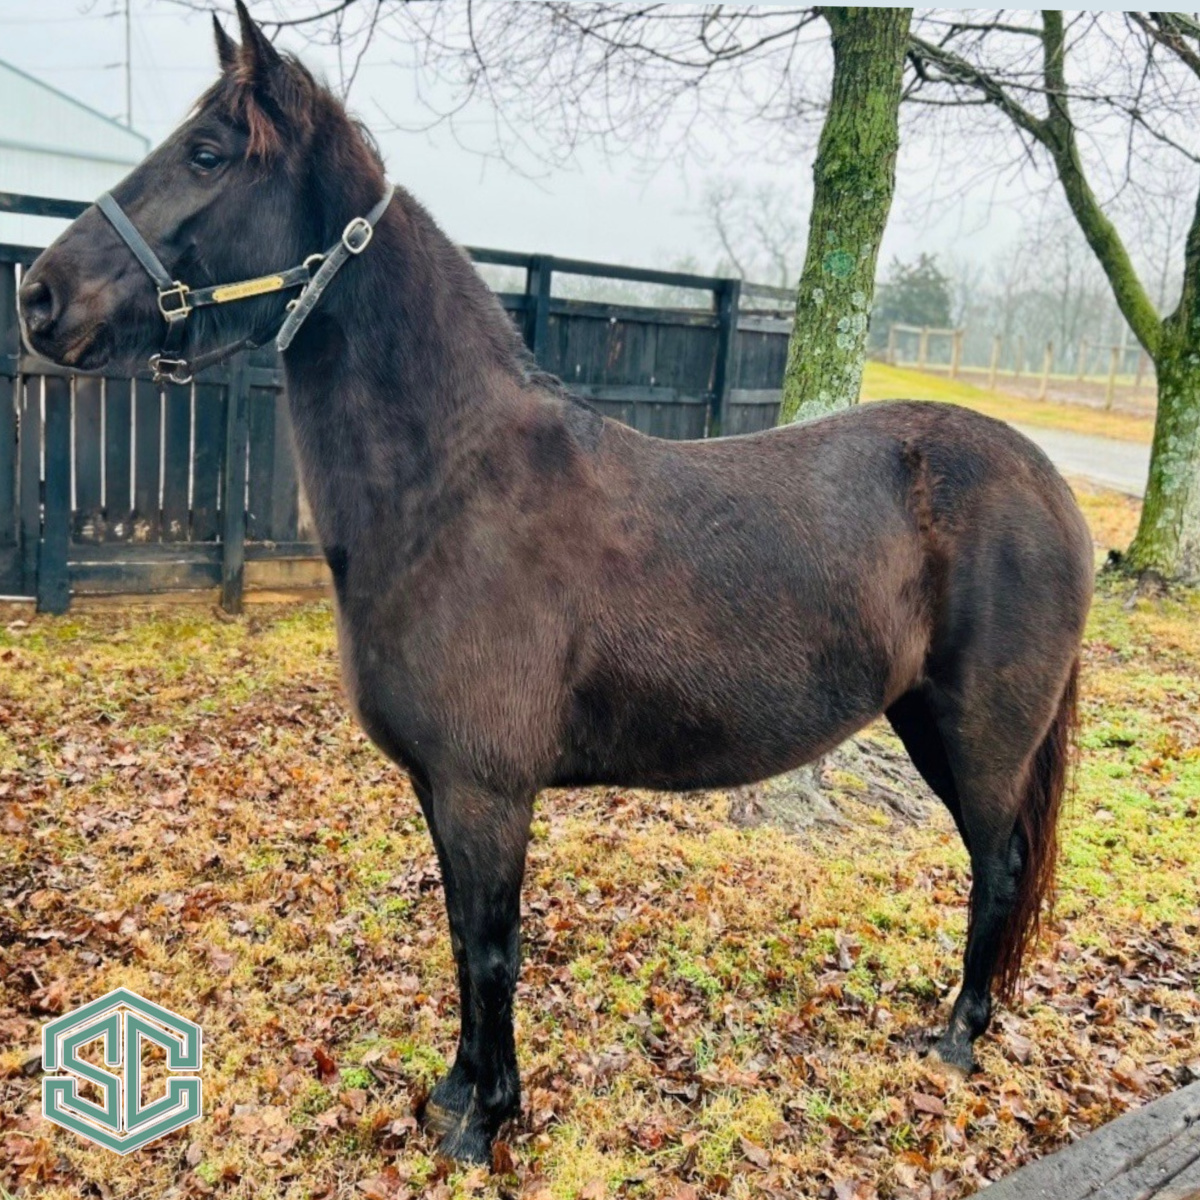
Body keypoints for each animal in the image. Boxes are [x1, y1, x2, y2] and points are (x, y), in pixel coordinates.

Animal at [18, 2, 1093, 1164]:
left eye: (208, 153)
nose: (39, 295)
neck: (454, 486)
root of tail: (1049, 484)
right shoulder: (441, 788)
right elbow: (459, 938)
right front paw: (457, 1094)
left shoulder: (488, 791)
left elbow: (491, 951)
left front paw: (484, 1123)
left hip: (980, 740)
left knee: (999, 865)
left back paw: (956, 1038)